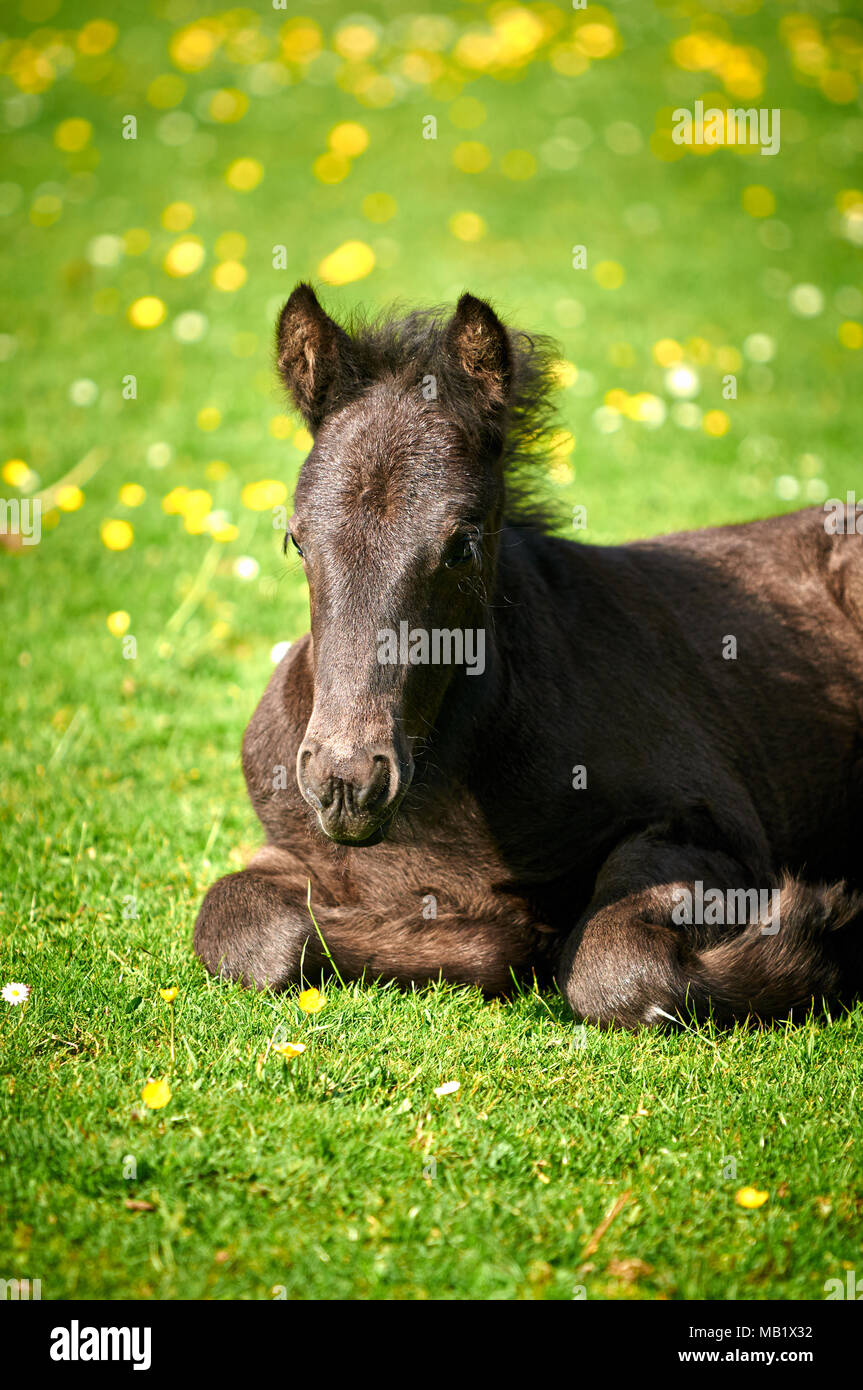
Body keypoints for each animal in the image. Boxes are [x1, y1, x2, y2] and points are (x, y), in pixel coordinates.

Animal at [193, 284, 863, 1028]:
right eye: (297, 540)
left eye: (461, 544)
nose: (347, 782)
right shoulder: (292, 847)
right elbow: (238, 926)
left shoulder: (710, 828)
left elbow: (610, 967)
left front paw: (821, 927)